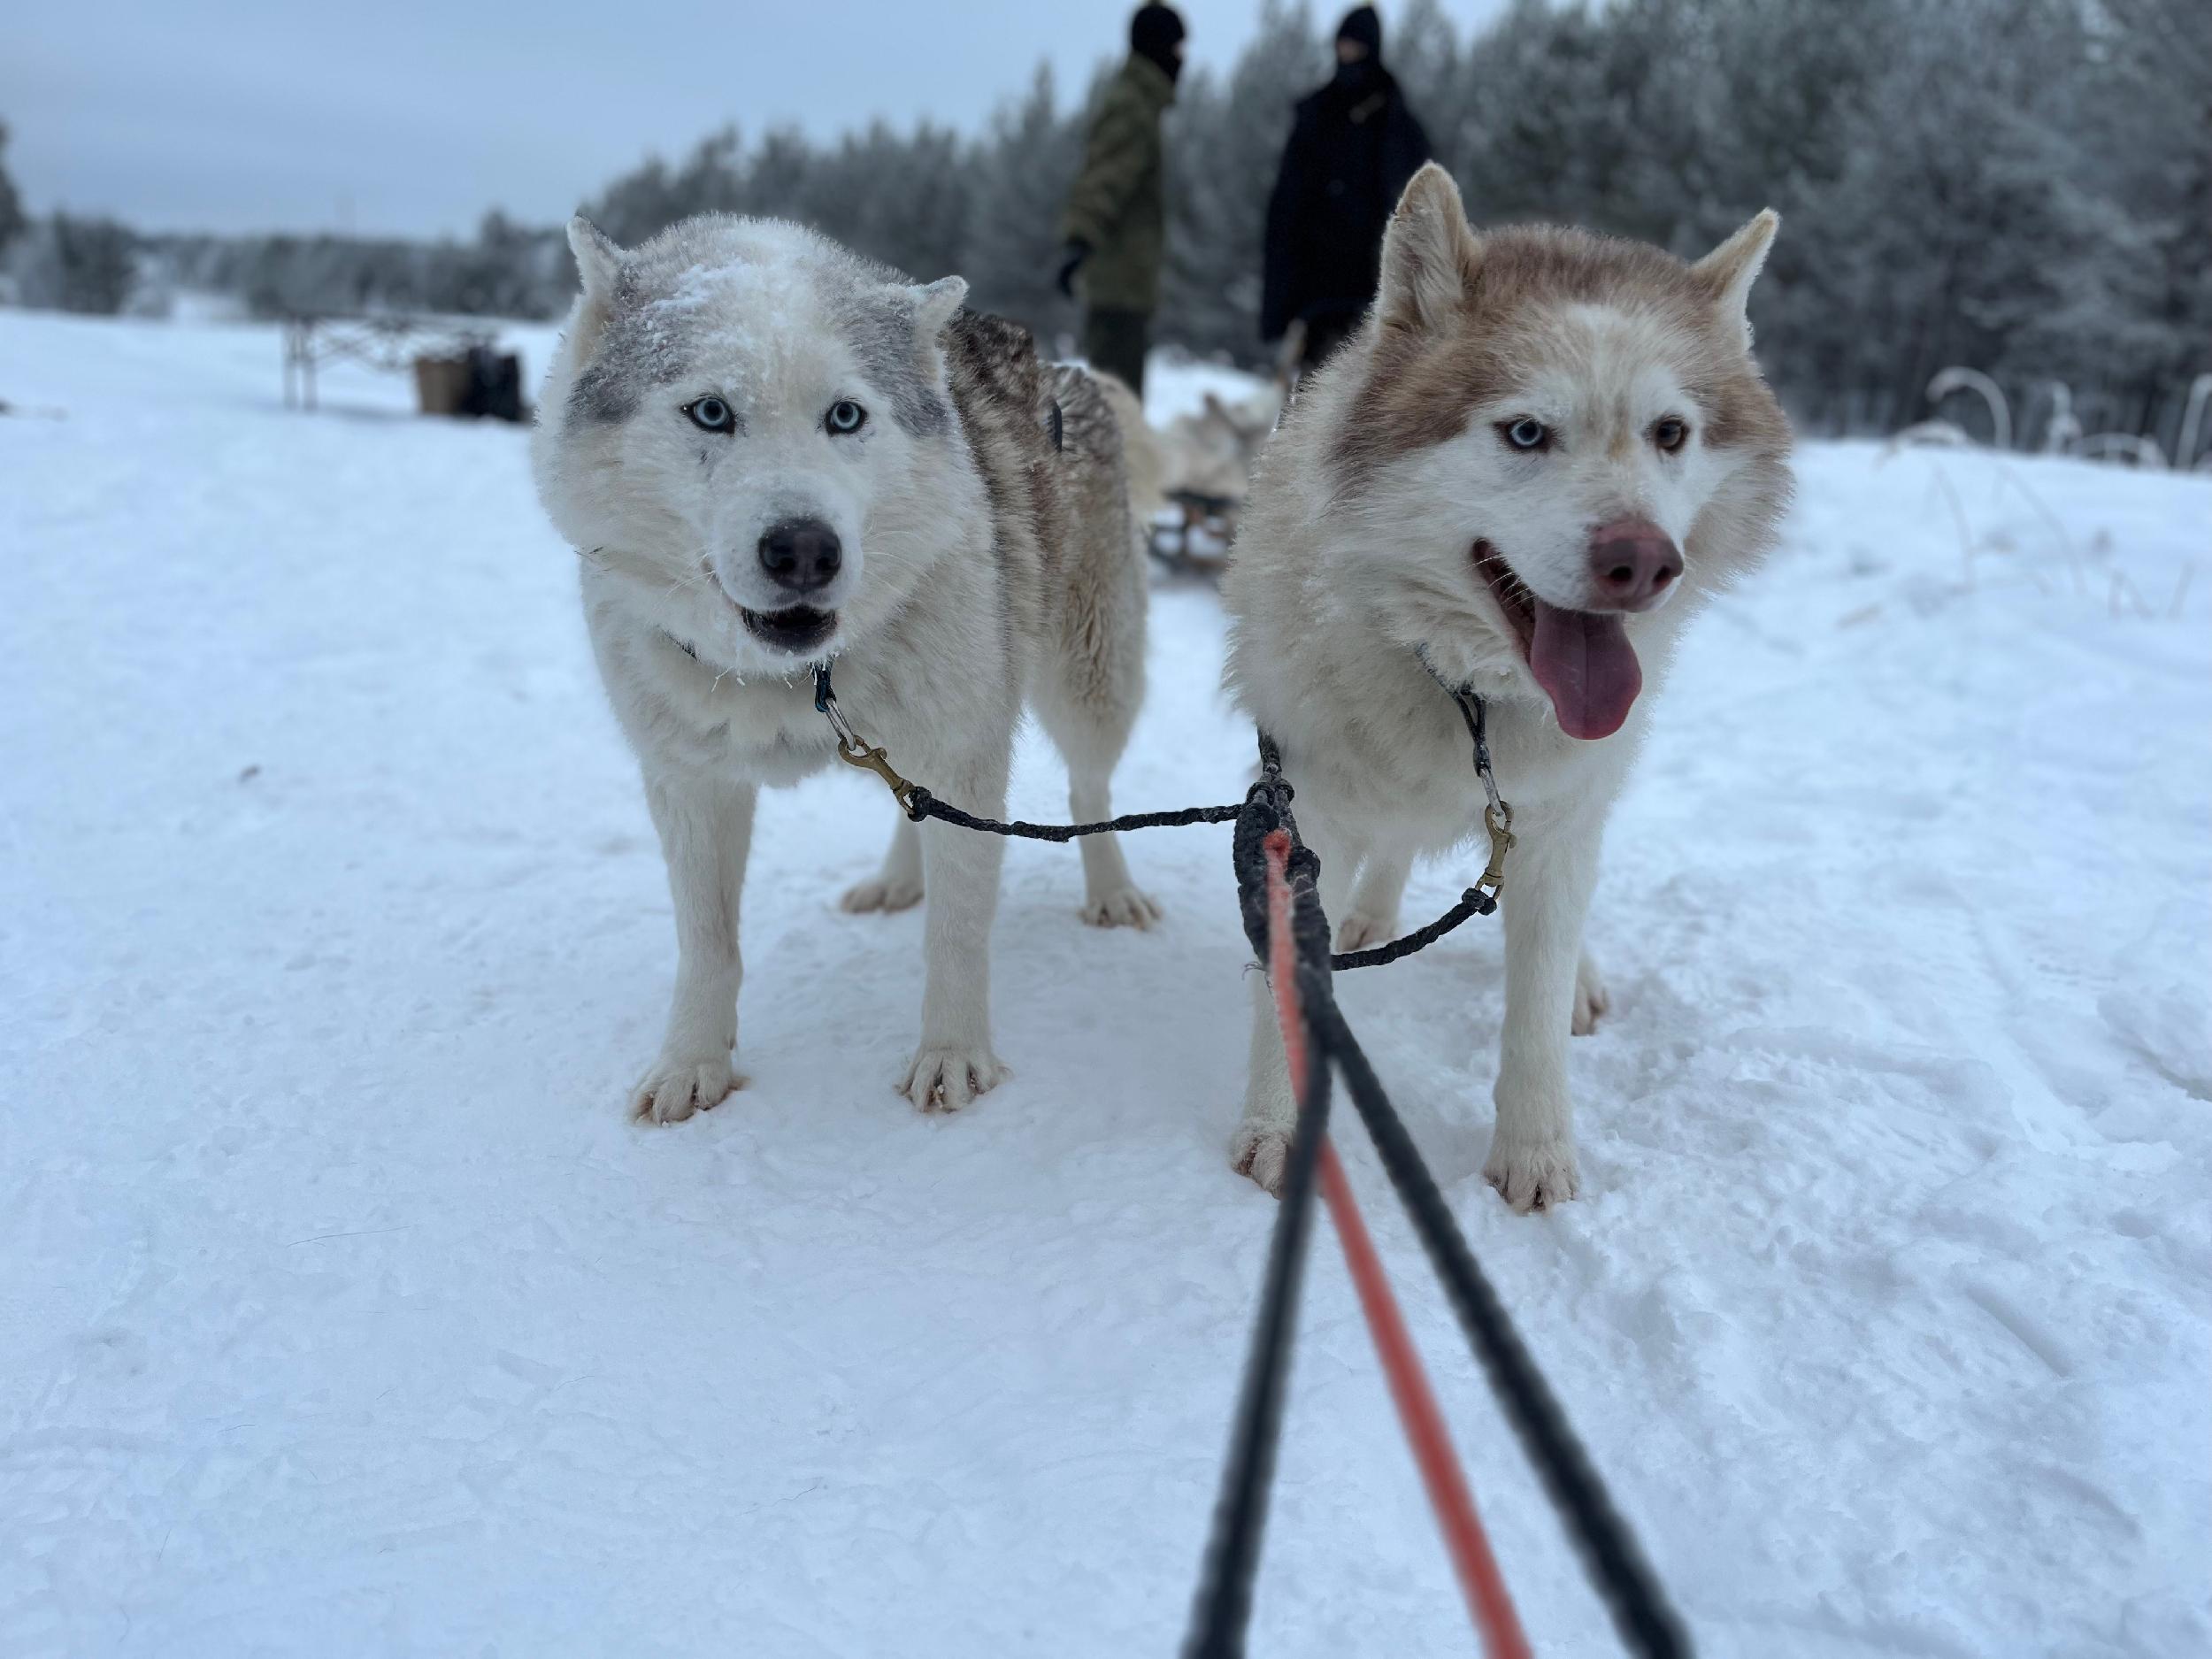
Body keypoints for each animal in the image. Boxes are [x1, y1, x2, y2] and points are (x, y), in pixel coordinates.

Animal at [533, 214, 1159, 1124]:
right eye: (711, 411)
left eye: (845, 415)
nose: (805, 549)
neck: (795, 678)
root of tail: (1071, 373)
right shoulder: (689, 783)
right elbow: (707, 943)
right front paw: (693, 1061)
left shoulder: (968, 756)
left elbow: (958, 934)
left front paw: (953, 1054)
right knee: (912, 804)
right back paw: (898, 881)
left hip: (1085, 681)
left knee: (1087, 791)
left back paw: (1110, 889)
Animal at [1221, 165, 1787, 1212]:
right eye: (1526, 432)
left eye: (1670, 433)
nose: (1644, 562)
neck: (1465, 688)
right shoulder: (1302, 813)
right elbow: (1294, 980)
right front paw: (1283, 1126)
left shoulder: (1556, 819)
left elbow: (1534, 1003)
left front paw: (1533, 1151)